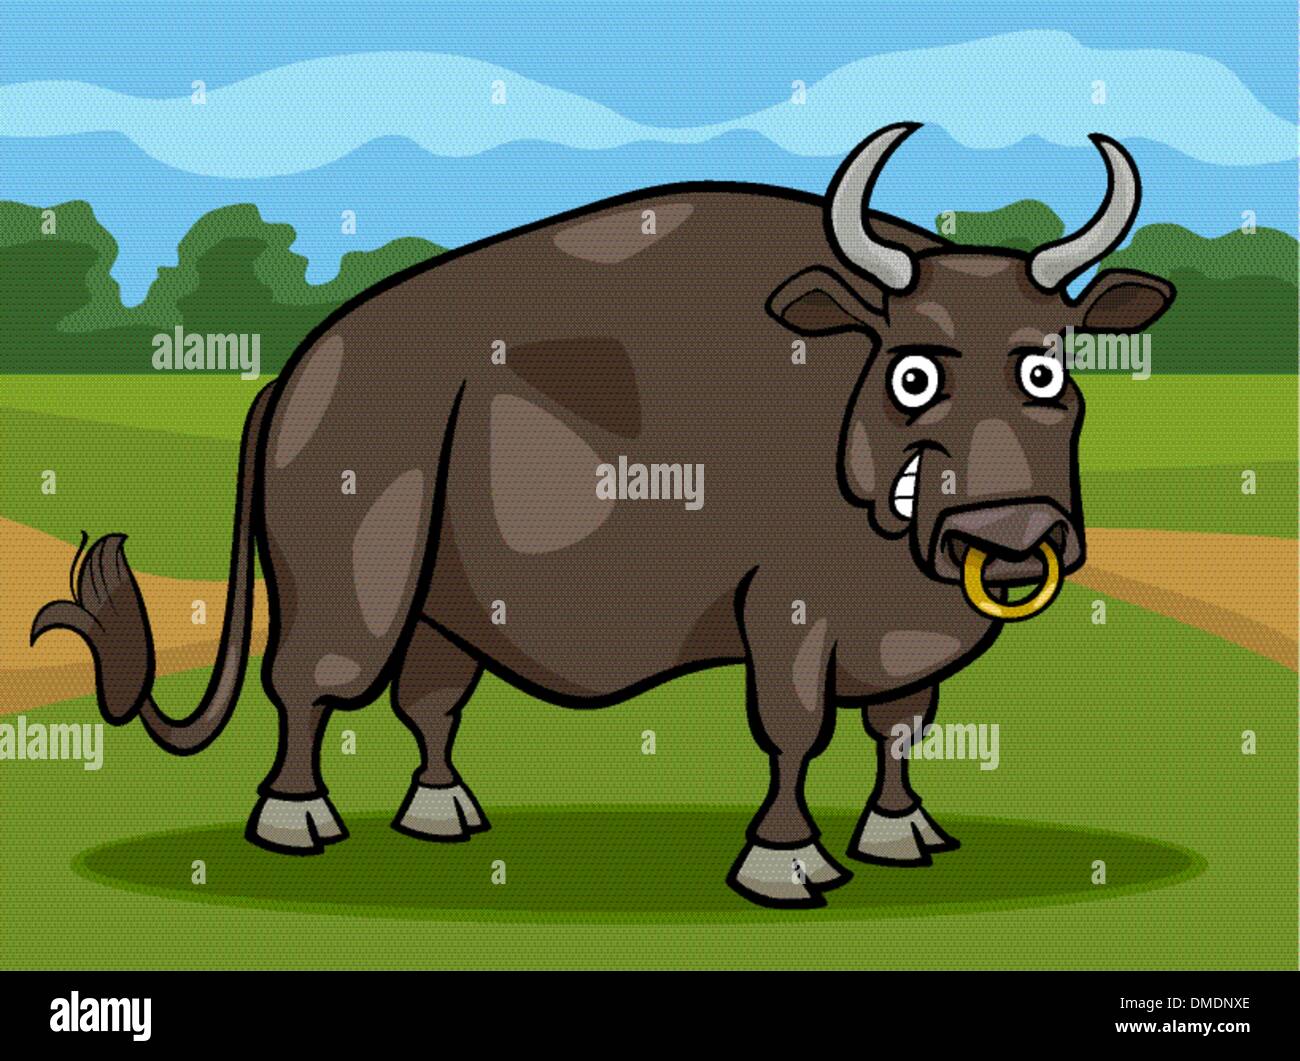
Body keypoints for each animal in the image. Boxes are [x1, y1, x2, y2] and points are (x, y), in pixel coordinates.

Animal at [32, 123, 1174, 907]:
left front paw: (903, 834)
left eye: (1046, 368)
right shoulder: (787, 617)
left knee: (431, 701)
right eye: (913, 372)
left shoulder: (909, 642)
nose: (1011, 538)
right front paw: (787, 858)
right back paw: (296, 818)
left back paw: (443, 812)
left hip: (445, 611)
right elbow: (792, 732)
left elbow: (900, 728)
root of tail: (301, 370)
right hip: (354, 588)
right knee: (309, 685)